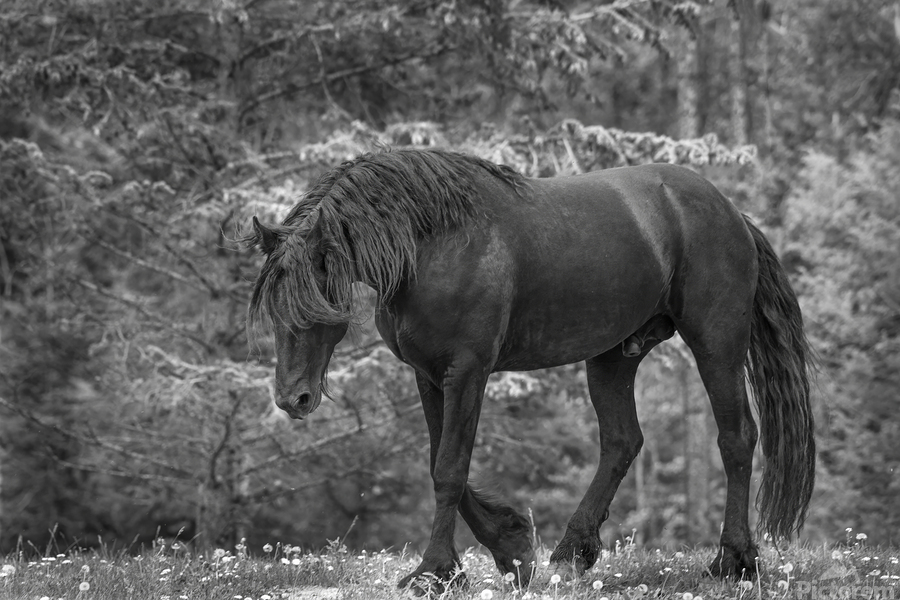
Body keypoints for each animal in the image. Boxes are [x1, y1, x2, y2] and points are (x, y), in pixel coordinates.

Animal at [243, 149, 815, 590]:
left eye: (317, 308)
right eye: (273, 310)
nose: (293, 399)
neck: (433, 245)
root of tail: (730, 212)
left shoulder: (467, 372)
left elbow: (449, 470)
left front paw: (436, 572)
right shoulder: (428, 376)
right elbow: (438, 463)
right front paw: (512, 547)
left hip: (716, 343)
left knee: (736, 437)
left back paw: (733, 561)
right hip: (613, 356)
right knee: (622, 442)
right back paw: (572, 552)